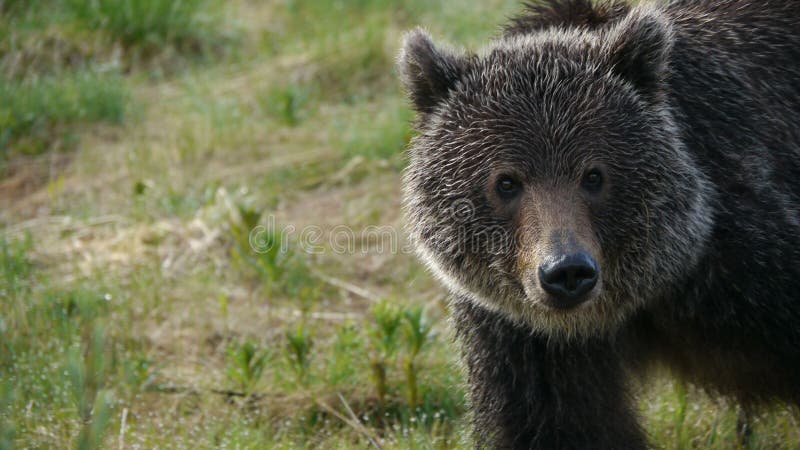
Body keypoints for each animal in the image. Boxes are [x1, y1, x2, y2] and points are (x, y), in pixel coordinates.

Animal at [398, 0, 800, 448]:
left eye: (593, 175)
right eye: (506, 182)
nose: (567, 271)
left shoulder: (746, 262)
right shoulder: (526, 339)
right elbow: (561, 426)